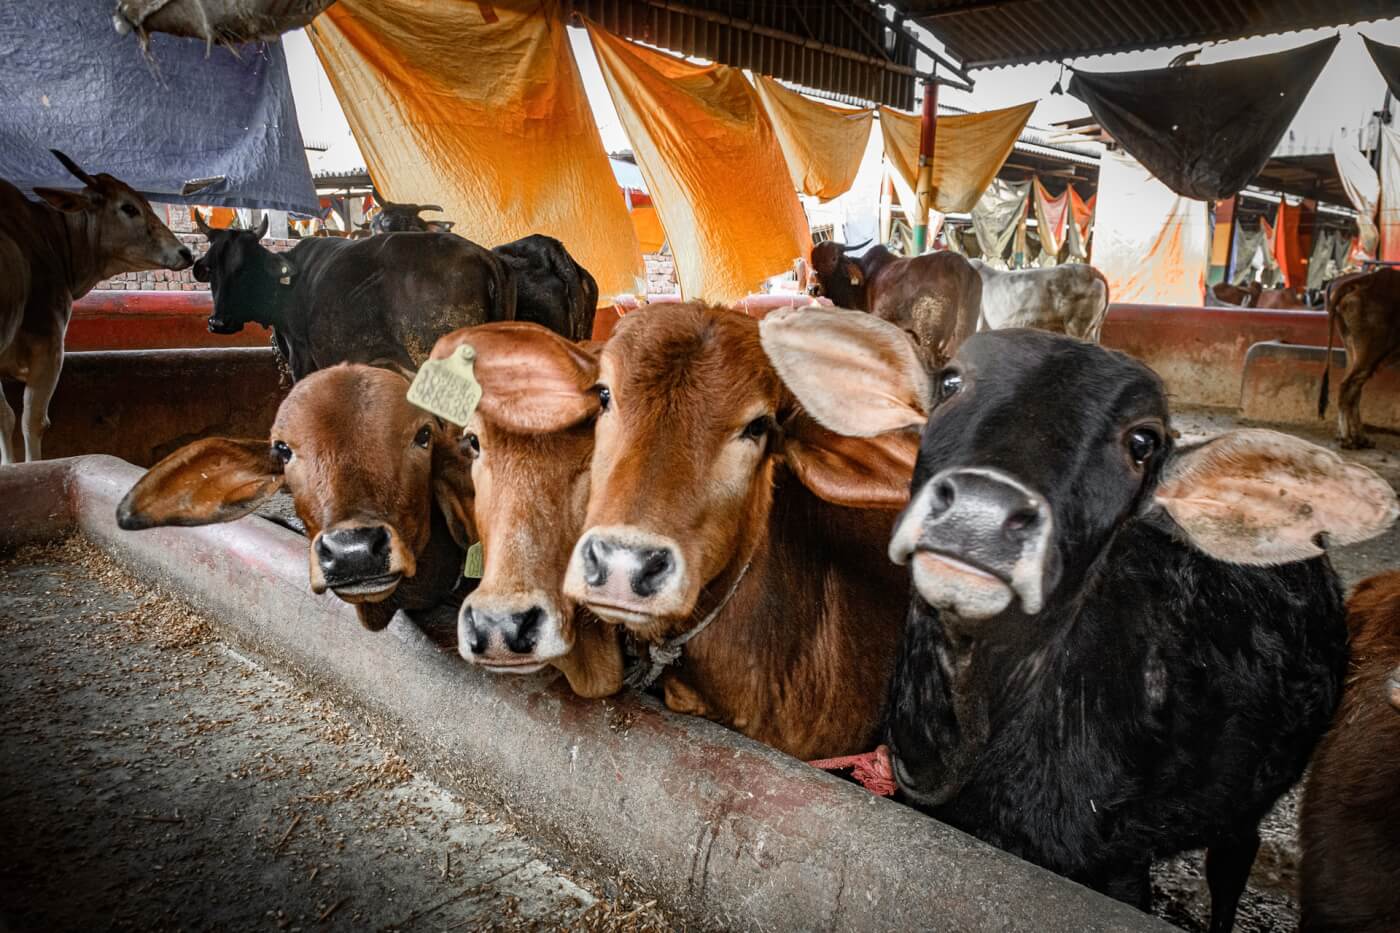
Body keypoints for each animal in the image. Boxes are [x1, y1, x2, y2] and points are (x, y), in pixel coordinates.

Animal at [1318, 267, 1400, 449]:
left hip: (1353, 350)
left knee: (1353, 392)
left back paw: (1358, 438)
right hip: (1370, 353)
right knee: (1347, 387)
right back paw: (1347, 438)